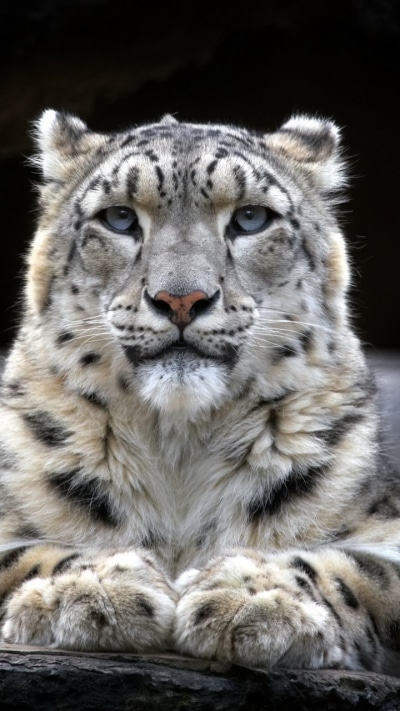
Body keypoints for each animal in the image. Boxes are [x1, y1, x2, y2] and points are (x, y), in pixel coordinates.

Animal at [0, 108, 399, 674]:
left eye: (251, 218)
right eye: (119, 218)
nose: (181, 299)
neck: (179, 448)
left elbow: (364, 569)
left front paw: (253, 594)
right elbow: (19, 554)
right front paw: (93, 586)